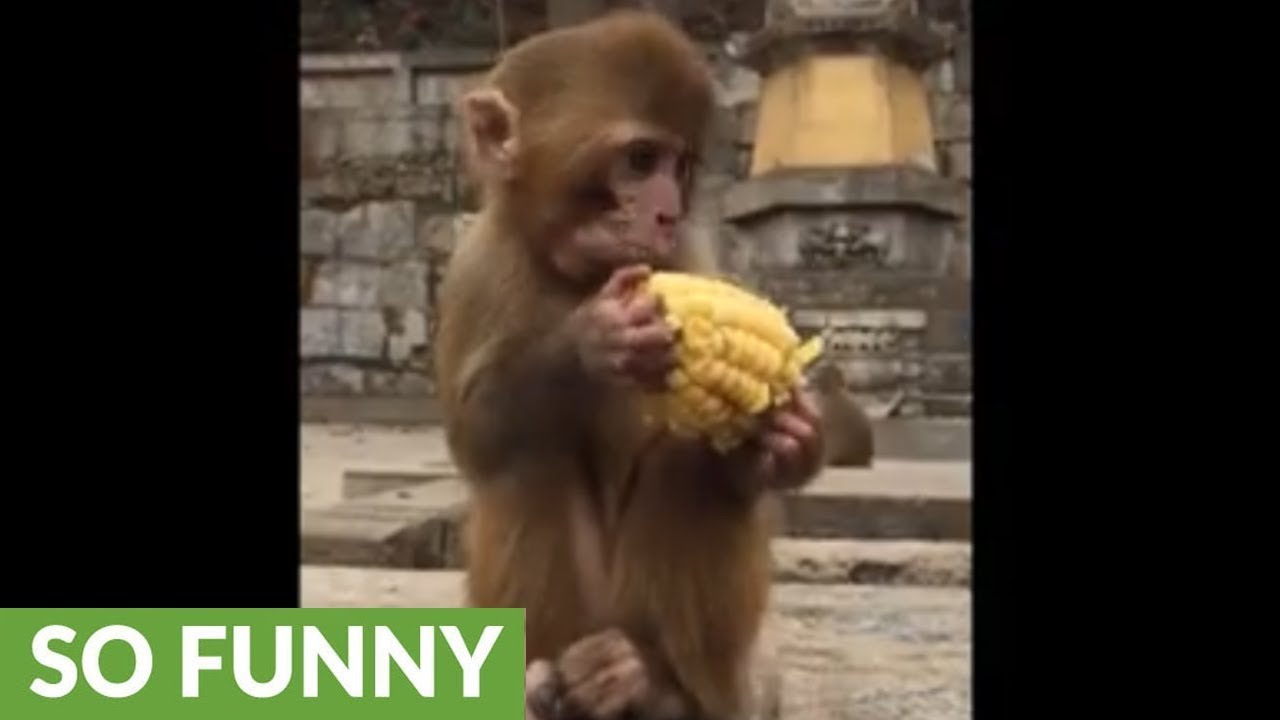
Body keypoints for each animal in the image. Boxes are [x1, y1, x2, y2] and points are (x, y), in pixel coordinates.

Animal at [432, 11, 826, 720]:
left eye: (679, 165)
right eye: (641, 160)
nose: (666, 210)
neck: (577, 272)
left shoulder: (690, 252)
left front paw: (792, 439)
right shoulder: (473, 264)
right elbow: (478, 435)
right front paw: (595, 339)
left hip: (712, 666)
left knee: (686, 462)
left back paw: (651, 683)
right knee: (529, 454)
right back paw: (548, 681)